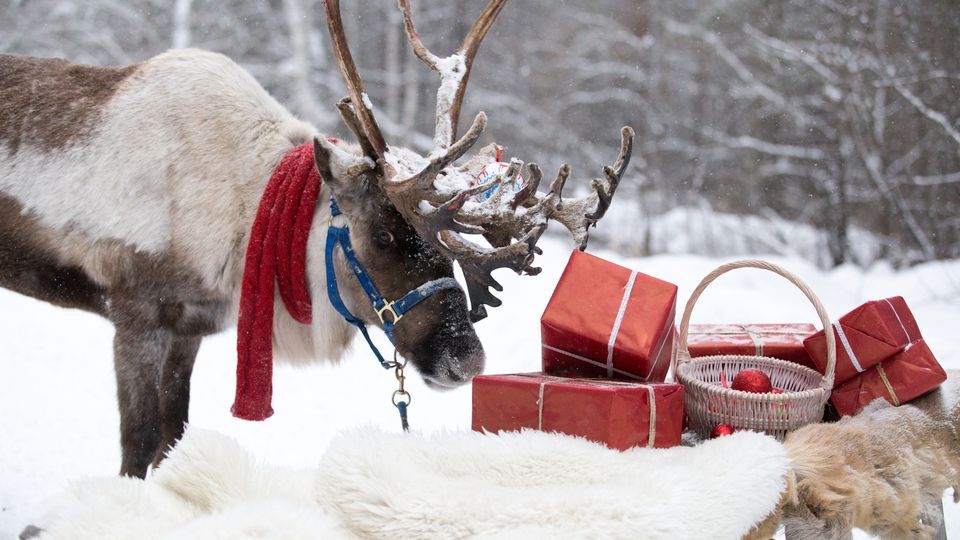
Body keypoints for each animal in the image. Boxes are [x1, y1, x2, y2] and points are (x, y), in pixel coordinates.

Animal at [0, 0, 634, 479]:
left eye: (448, 251)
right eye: (384, 234)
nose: (467, 359)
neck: (240, 208)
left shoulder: (188, 326)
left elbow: (170, 438)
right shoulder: (138, 315)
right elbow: (137, 445)